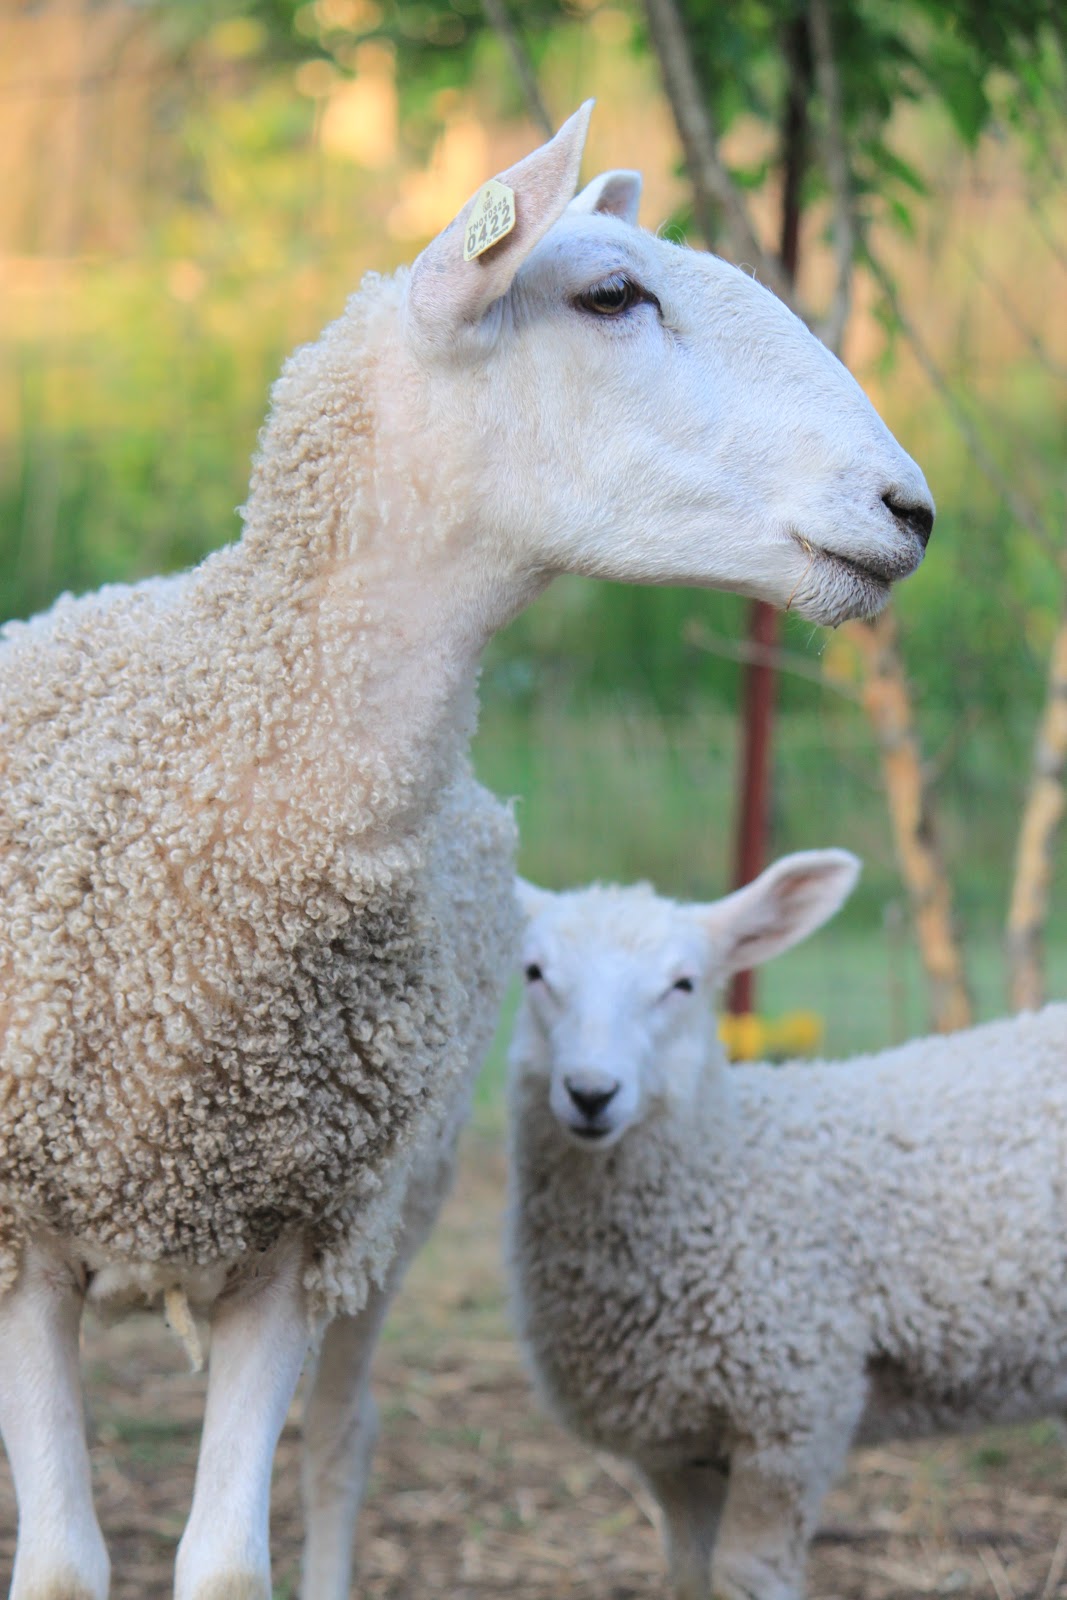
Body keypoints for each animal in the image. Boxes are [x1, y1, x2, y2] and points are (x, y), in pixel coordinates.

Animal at [0, 97, 934, 1600]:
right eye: (609, 295)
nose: (908, 510)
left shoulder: (300, 1235)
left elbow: (227, 1562)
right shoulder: (23, 1230)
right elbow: (64, 1567)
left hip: (394, 1221)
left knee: (343, 1441)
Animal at [507, 855, 1067, 1600]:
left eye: (684, 985)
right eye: (534, 973)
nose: (591, 1093)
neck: (733, 1169)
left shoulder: (794, 1415)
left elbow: (747, 1575)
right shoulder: (671, 1443)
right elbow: (691, 1574)